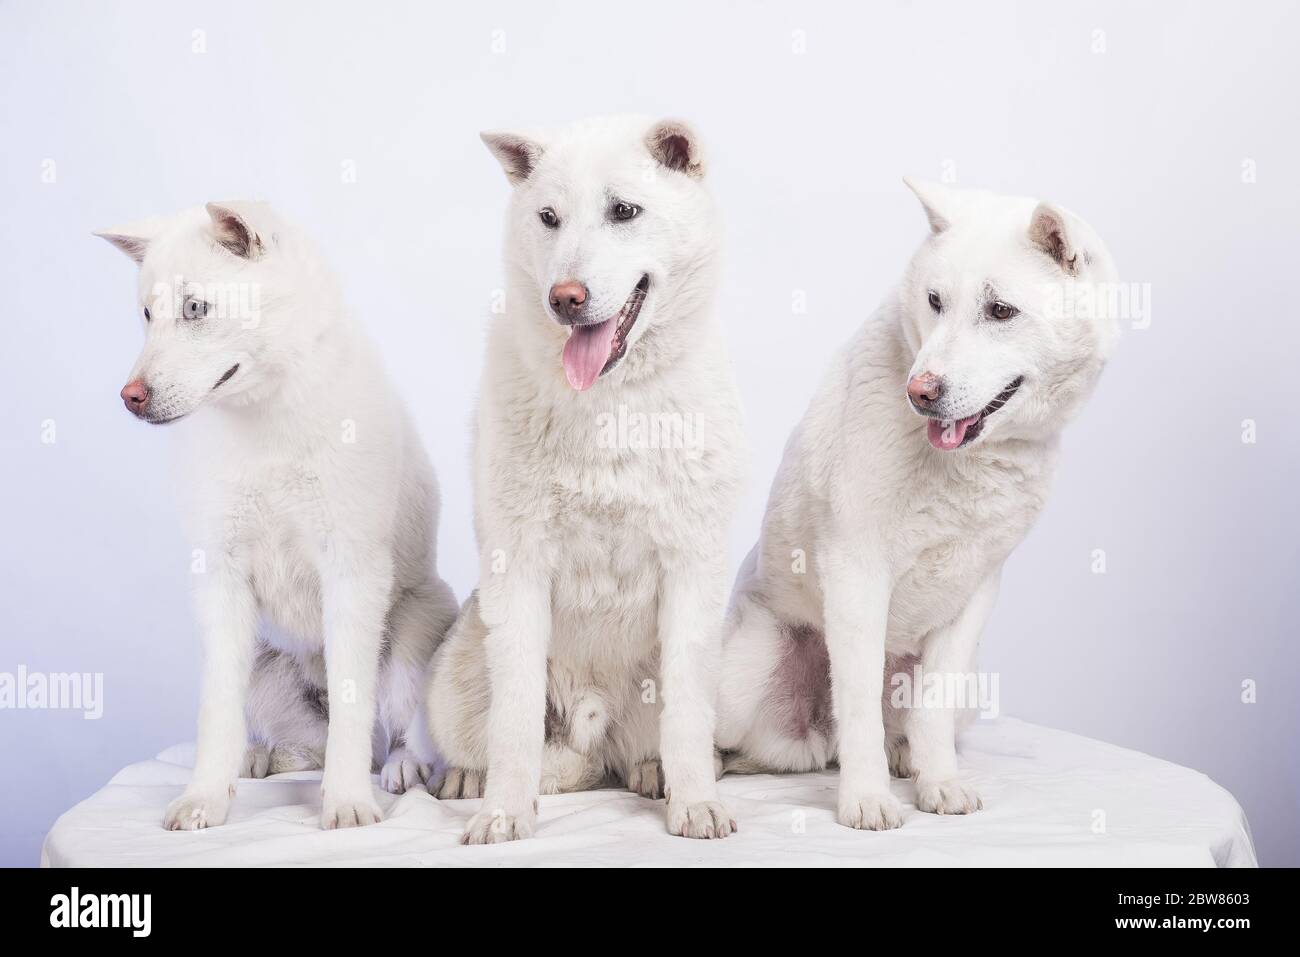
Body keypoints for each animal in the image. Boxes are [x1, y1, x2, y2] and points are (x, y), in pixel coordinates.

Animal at [94, 201, 457, 832]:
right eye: (146, 315)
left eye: (195, 309)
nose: (129, 397)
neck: (266, 420)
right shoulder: (220, 579)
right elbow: (216, 712)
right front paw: (204, 798)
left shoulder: (352, 571)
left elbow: (356, 708)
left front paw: (346, 803)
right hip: (263, 664)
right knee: (303, 739)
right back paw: (262, 757)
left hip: (415, 634)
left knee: (389, 728)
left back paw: (400, 767)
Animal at [426, 115, 748, 842]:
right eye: (548, 218)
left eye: (624, 211)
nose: (564, 299)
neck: (611, 401)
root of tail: (595, 726)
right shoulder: (519, 567)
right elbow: (513, 723)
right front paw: (502, 812)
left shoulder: (692, 567)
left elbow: (687, 721)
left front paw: (695, 802)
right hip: (455, 675)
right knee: (487, 739)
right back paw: (466, 779)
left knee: (649, 744)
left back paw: (653, 772)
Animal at [712, 178, 1118, 832]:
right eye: (934, 301)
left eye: (1000, 311)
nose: (920, 392)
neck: (964, 465)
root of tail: (812, 743)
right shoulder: (856, 576)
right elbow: (857, 710)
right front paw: (865, 798)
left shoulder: (973, 594)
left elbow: (930, 708)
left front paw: (938, 782)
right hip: (741, 675)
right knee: (710, 737)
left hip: (970, 686)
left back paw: (904, 759)